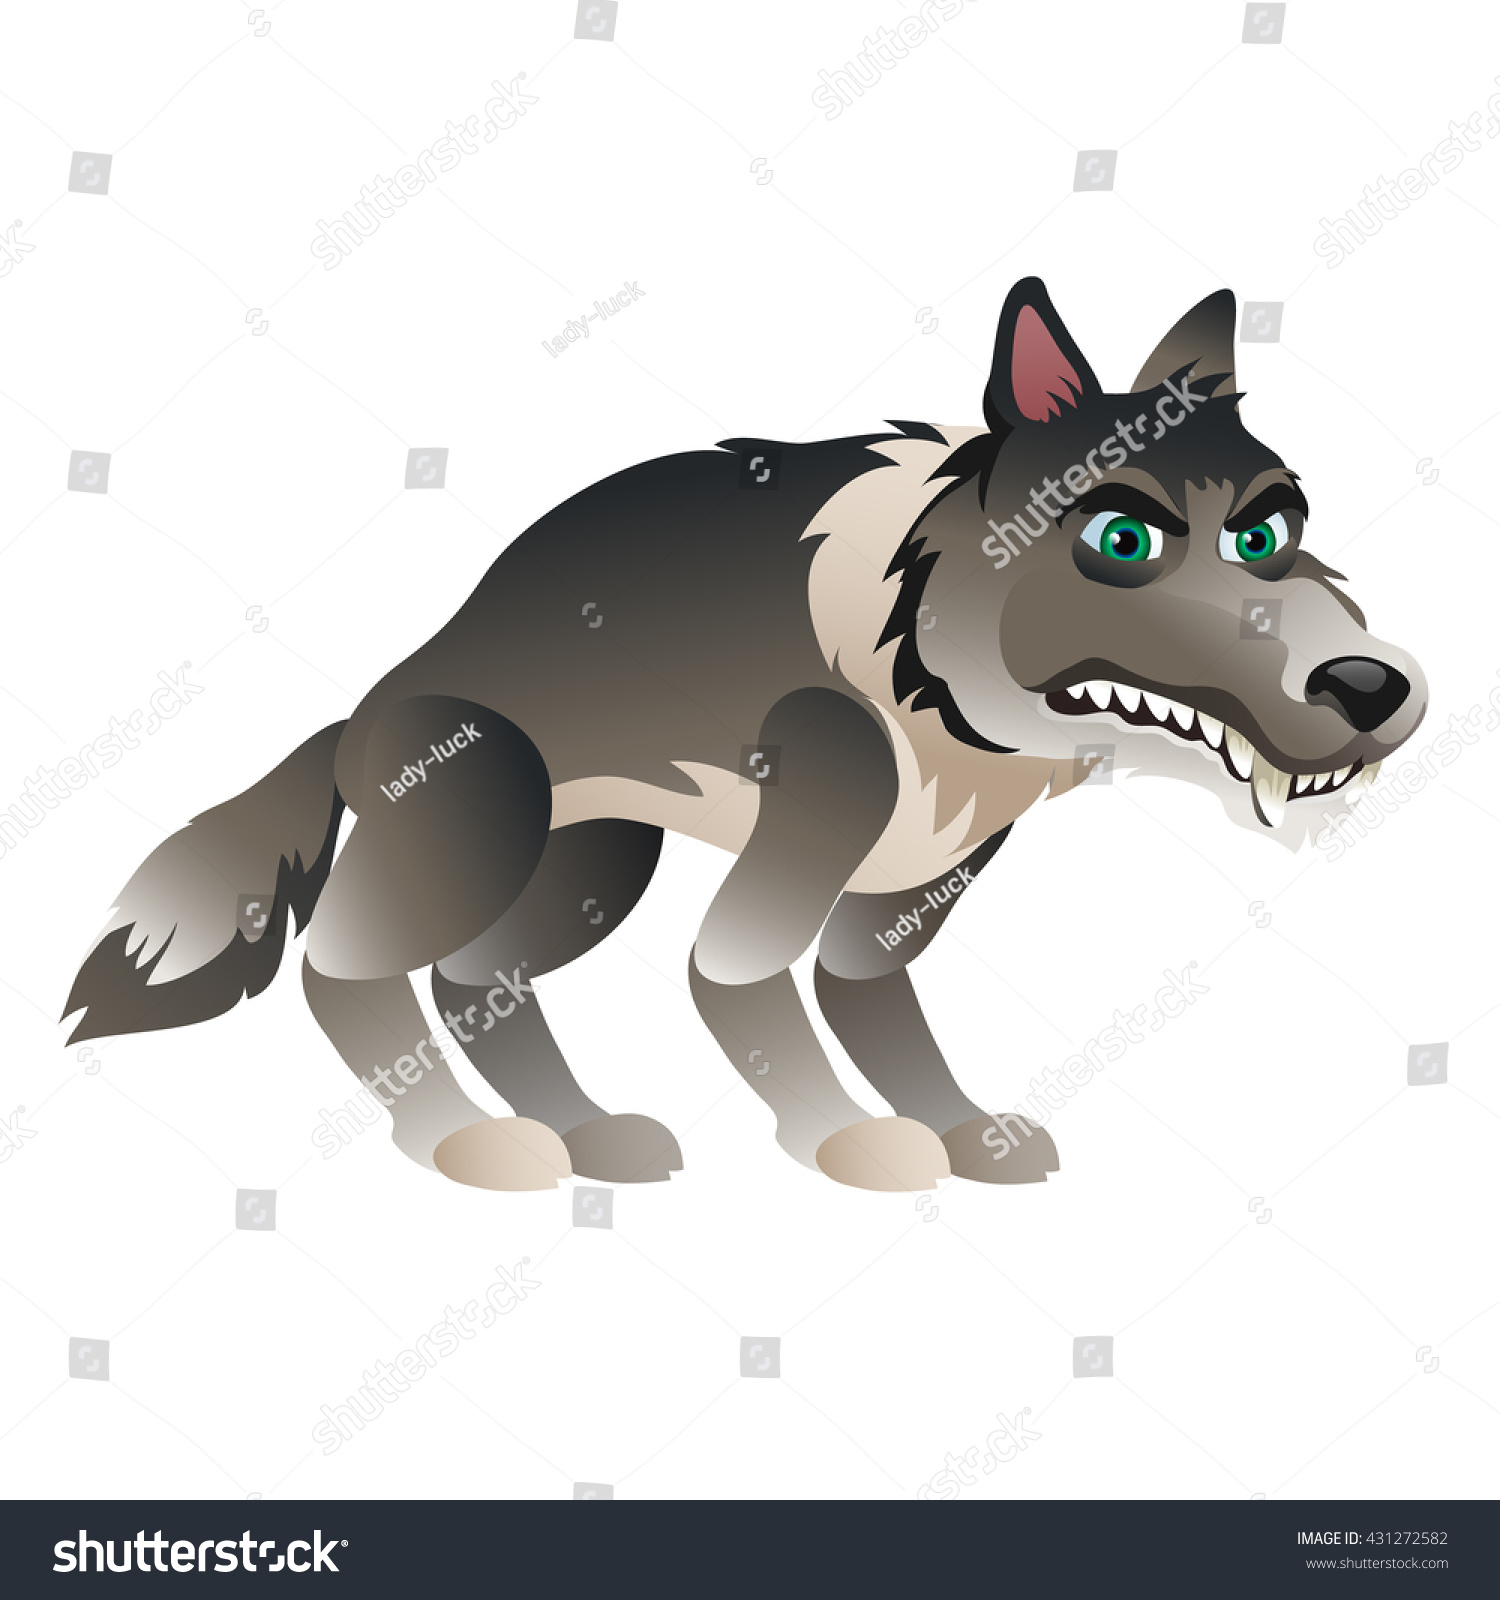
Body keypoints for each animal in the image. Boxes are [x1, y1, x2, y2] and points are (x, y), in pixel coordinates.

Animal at [63, 278, 1427, 1193]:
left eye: (1271, 530)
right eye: (1123, 538)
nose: (1375, 687)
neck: (928, 650)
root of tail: (368, 704)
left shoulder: (911, 885)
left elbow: (873, 1002)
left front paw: (959, 1128)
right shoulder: (818, 813)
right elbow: (742, 982)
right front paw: (843, 1137)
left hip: (596, 863)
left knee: (478, 979)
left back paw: (586, 1132)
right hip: (485, 806)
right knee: (346, 967)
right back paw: (461, 1138)